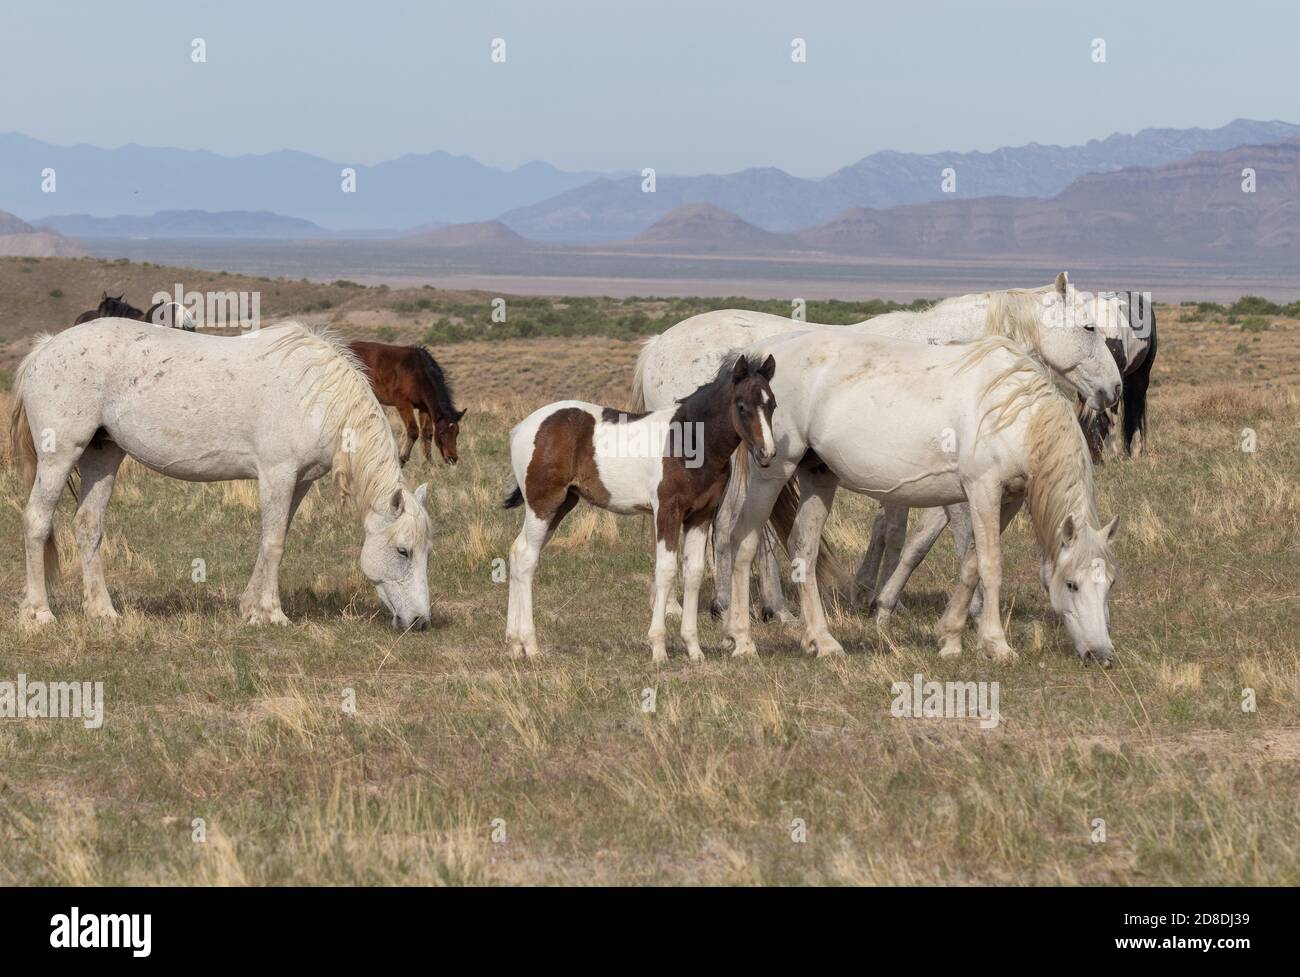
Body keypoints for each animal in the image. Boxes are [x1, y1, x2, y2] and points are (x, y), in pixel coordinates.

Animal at [9, 319, 433, 630]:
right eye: (403, 551)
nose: (420, 621)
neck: (313, 395)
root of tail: (45, 347)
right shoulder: (277, 475)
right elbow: (274, 543)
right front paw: (272, 613)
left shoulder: (299, 482)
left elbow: (275, 539)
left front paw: (251, 609)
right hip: (60, 455)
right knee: (36, 521)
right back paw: (40, 612)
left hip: (103, 456)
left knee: (88, 526)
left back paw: (102, 611)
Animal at [502, 354, 777, 663]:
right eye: (742, 406)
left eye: (772, 405)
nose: (767, 453)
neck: (690, 441)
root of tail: (522, 428)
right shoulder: (667, 511)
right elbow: (666, 571)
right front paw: (658, 648)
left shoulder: (701, 516)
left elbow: (693, 573)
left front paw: (694, 649)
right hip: (543, 504)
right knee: (527, 558)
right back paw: (531, 646)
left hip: (560, 505)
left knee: (517, 551)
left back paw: (514, 645)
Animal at [631, 273, 1122, 619]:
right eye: (1089, 327)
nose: (1115, 389)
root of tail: (656, 345)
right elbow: (956, 535)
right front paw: (971, 608)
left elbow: (900, 532)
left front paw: (878, 595)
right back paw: (708, 606)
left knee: (736, 523)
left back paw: (754, 605)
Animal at [722, 331, 1120, 666]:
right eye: (1071, 584)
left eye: (1110, 583)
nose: (1101, 655)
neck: (1014, 412)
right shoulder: (983, 490)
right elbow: (990, 565)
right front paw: (996, 643)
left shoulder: (1007, 499)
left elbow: (971, 564)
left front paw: (951, 637)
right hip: (771, 471)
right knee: (744, 542)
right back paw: (741, 639)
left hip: (817, 477)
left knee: (803, 548)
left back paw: (822, 641)